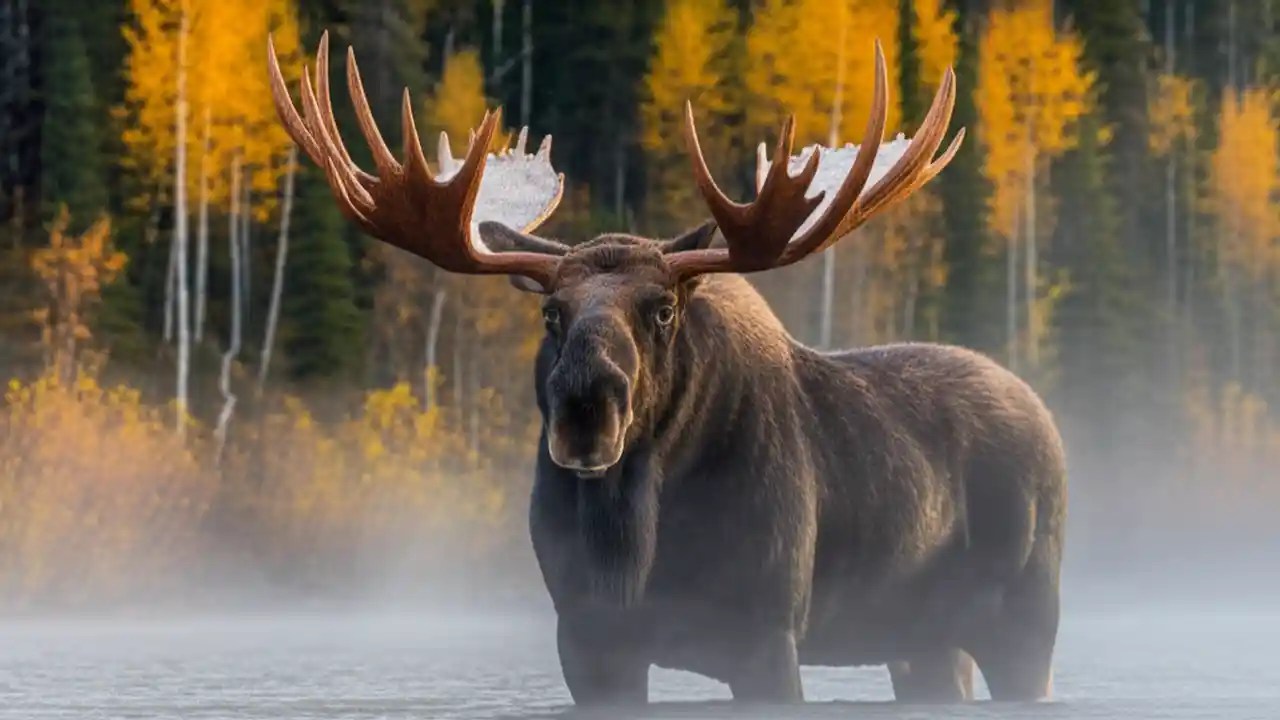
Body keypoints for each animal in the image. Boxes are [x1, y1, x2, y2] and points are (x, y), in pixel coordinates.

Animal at [267, 32, 1067, 705]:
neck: (635, 540)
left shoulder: (766, 636)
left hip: (1025, 624)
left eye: (662, 310)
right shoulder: (588, 641)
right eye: (551, 313)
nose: (586, 407)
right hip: (923, 644)